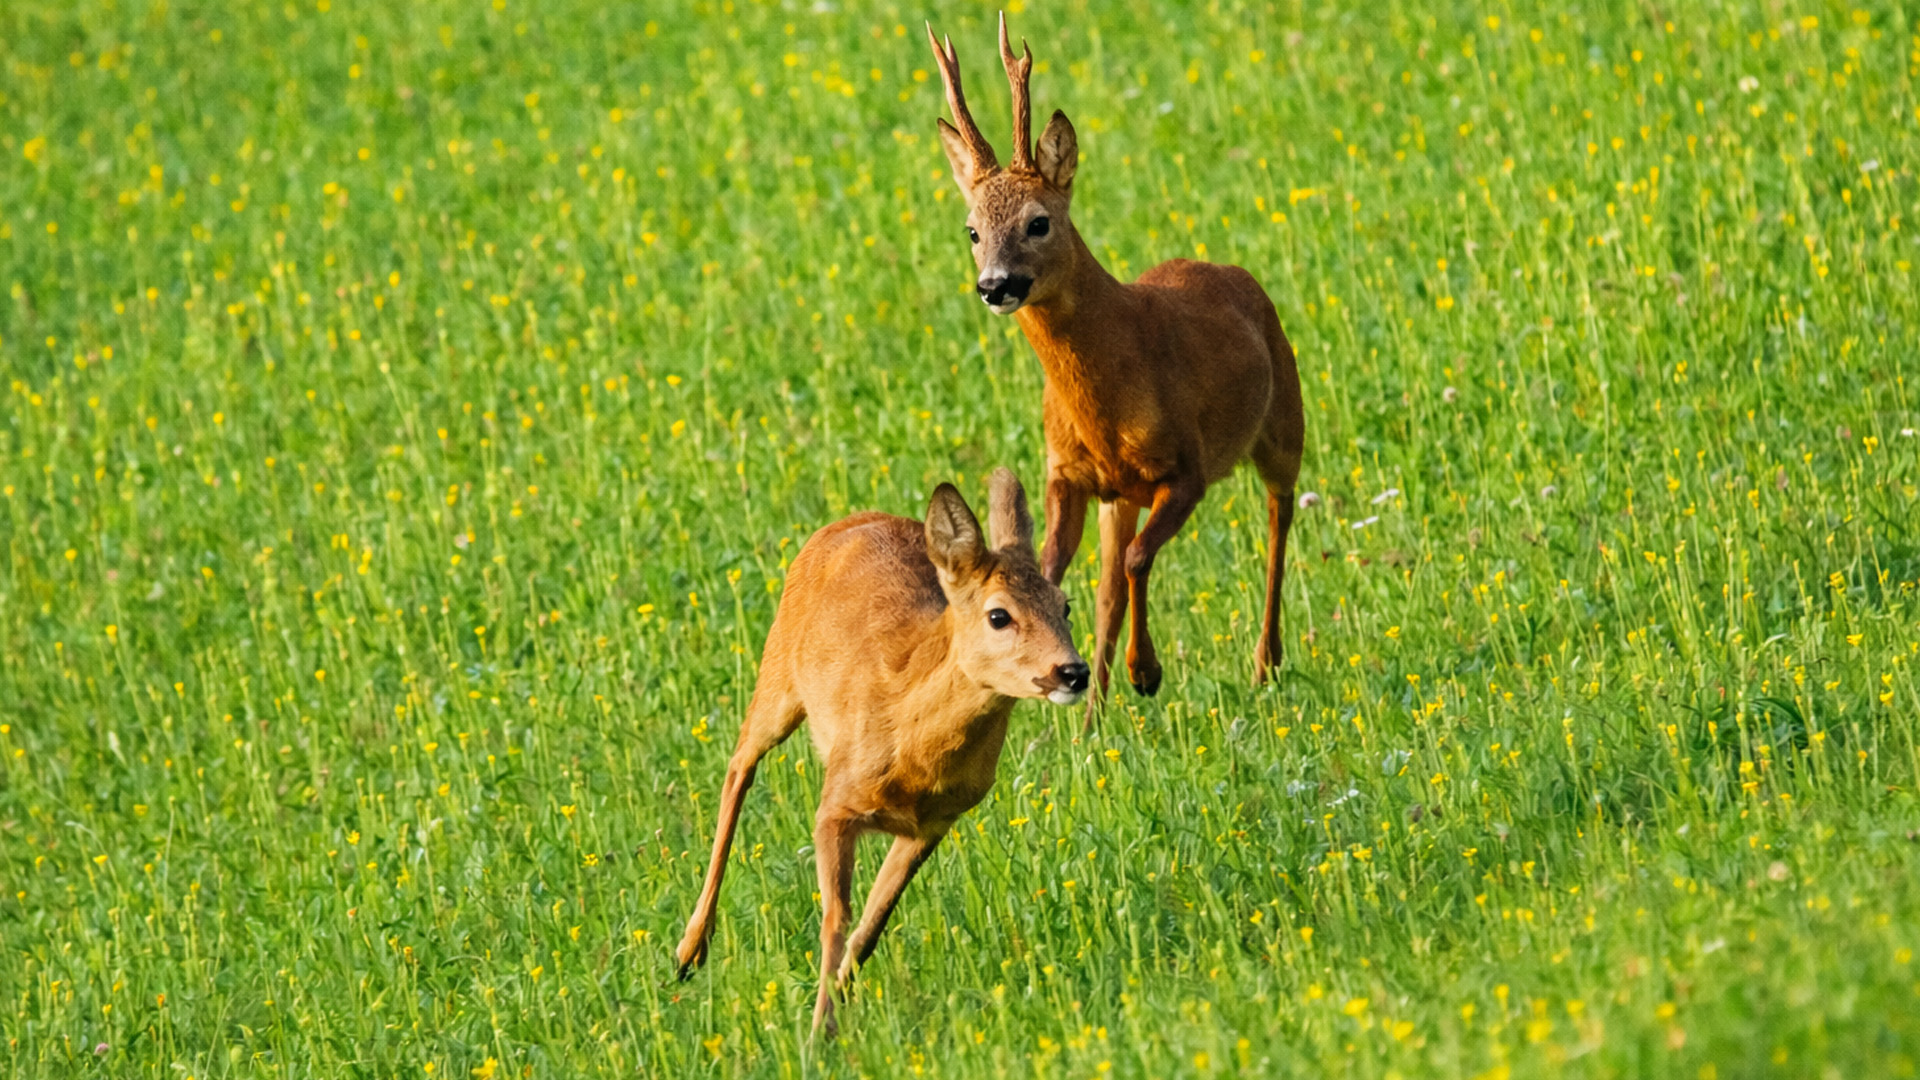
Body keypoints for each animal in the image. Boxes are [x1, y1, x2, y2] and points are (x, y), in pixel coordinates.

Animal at [673, 468, 1088, 1038]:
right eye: (999, 615)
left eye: (1064, 605)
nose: (1073, 672)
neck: (912, 743)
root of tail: (852, 519)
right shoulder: (836, 805)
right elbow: (835, 920)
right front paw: (816, 1035)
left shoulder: (934, 823)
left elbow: (870, 928)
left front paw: (835, 1013)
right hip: (777, 674)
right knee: (739, 767)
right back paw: (688, 951)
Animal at [927, 16, 1305, 713]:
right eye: (972, 229)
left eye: (1039, 221)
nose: (995, 285)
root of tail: (1235, 274)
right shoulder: (1068, 474)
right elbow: (1060, 572)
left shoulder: (1186, 468)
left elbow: (1135, 561)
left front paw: (1145, 671)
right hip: (1119, 496)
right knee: (1108, 586)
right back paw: (1094, 715)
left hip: (1282, 426)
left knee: (1279, 515)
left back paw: (1265, 661)